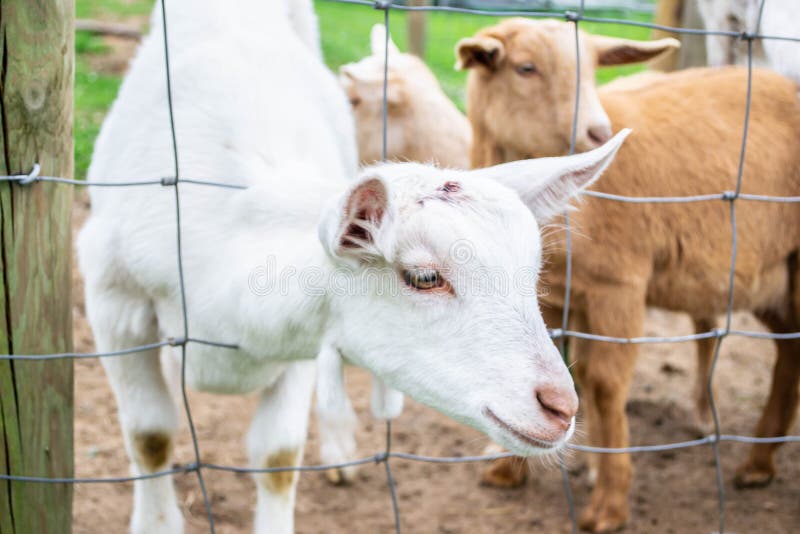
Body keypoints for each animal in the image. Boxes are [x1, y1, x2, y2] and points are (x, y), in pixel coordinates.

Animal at [78, 3, 628, 532]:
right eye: (424, 277)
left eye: (532, 276)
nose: (561, 408)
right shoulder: (113, 300)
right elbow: (150, 437)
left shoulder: (301, 337)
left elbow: (278, 456)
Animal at [457, 17, 800, 533]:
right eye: (526, 68)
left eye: (594, 68)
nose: (598, 131)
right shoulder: (556, 296)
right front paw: (509, 469)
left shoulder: (618, 286)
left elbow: (603, 385)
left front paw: (609, 503)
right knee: (790, 349)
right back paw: (760, 464)